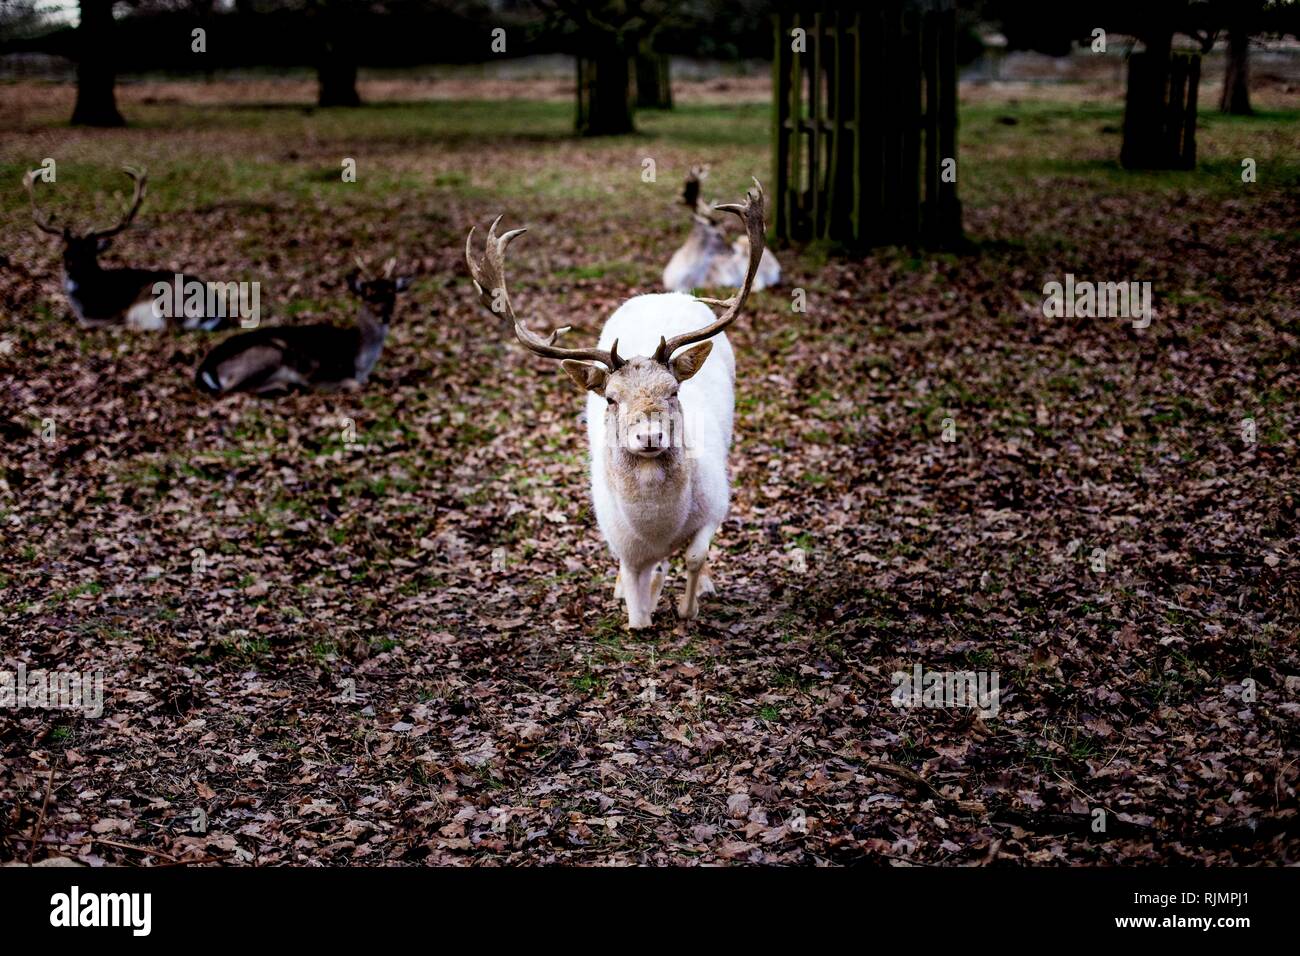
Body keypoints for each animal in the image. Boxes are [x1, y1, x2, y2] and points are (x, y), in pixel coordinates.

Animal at [22, 165, 234, 332]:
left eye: (89, 254)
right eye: (65, 253)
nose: (72, 275)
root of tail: (215, 311)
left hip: (167, 300)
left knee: (170, 328)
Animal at [195, 258, 410, 396]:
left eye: (392, 294)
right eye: (368, 295)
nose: (385, 316)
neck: (360, 359)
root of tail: (205, 370)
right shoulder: (321, 374)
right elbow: (353, 384)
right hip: (268, 352)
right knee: (230, 390)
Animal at [466, 180, 767, 630]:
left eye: (673, 391)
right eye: (611, 398)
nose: (650, 436)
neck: (659, 528)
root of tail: (662, 291)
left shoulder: (716, 502)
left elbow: (696, 556)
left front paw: (690, 604)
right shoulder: (622, 543)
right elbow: (637, 617)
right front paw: (637, 598)